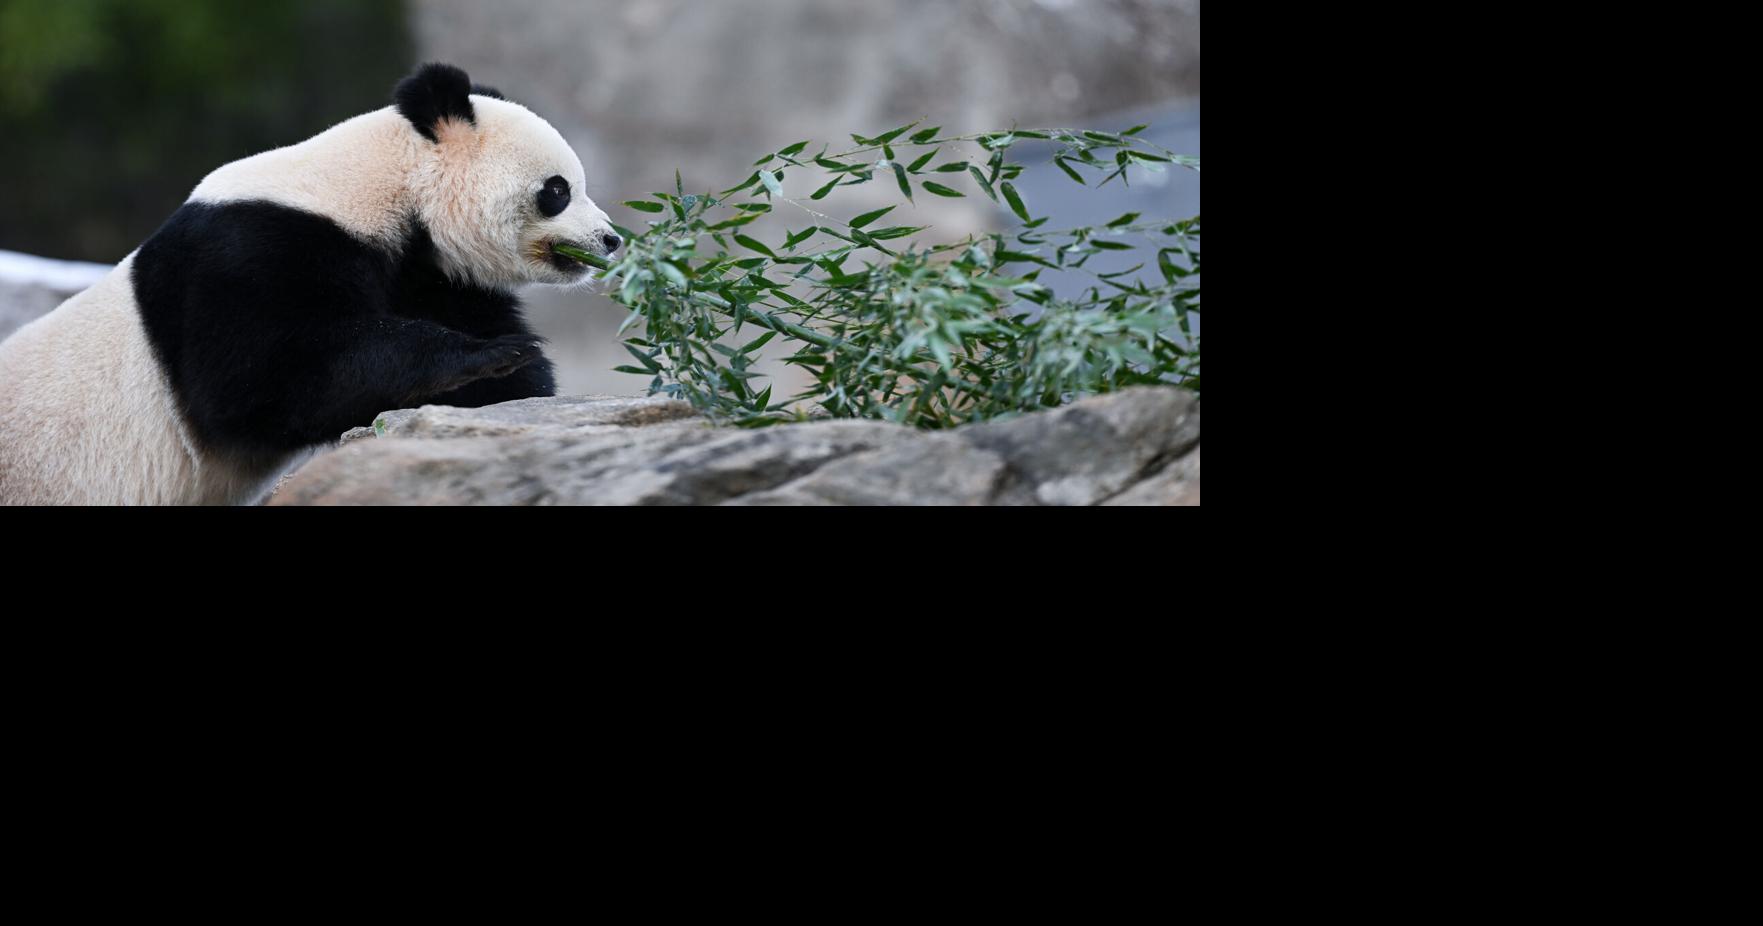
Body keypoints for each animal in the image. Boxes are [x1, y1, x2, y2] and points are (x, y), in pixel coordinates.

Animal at [0, 63, 620, 506]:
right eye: (558, 189)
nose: (611, 240)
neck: (375, 186)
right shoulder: (250, 250)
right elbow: (261, 379)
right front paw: (492, 355)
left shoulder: (430, 273)